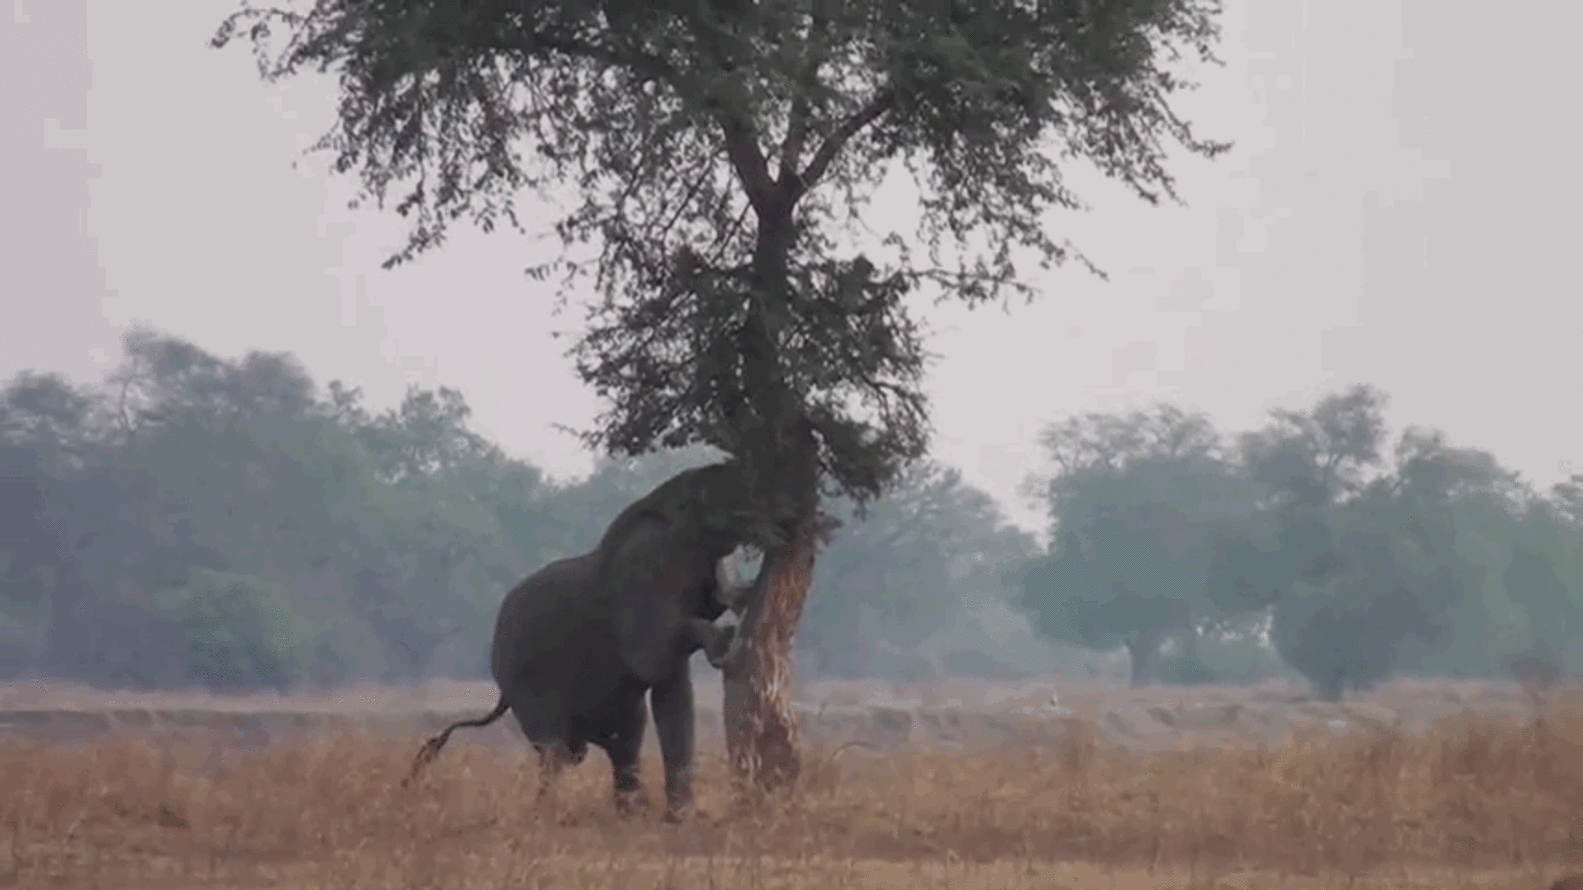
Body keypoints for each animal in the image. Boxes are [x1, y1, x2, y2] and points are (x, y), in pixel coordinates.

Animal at [404, 463, 755, 822]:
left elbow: (674, 693)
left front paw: (682, 818)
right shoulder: (642, 584)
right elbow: (652, 656)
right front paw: (725, 641)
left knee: (624, 744)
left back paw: (632, 814)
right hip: (528, 689)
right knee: (557, 753)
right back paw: (550, 814)